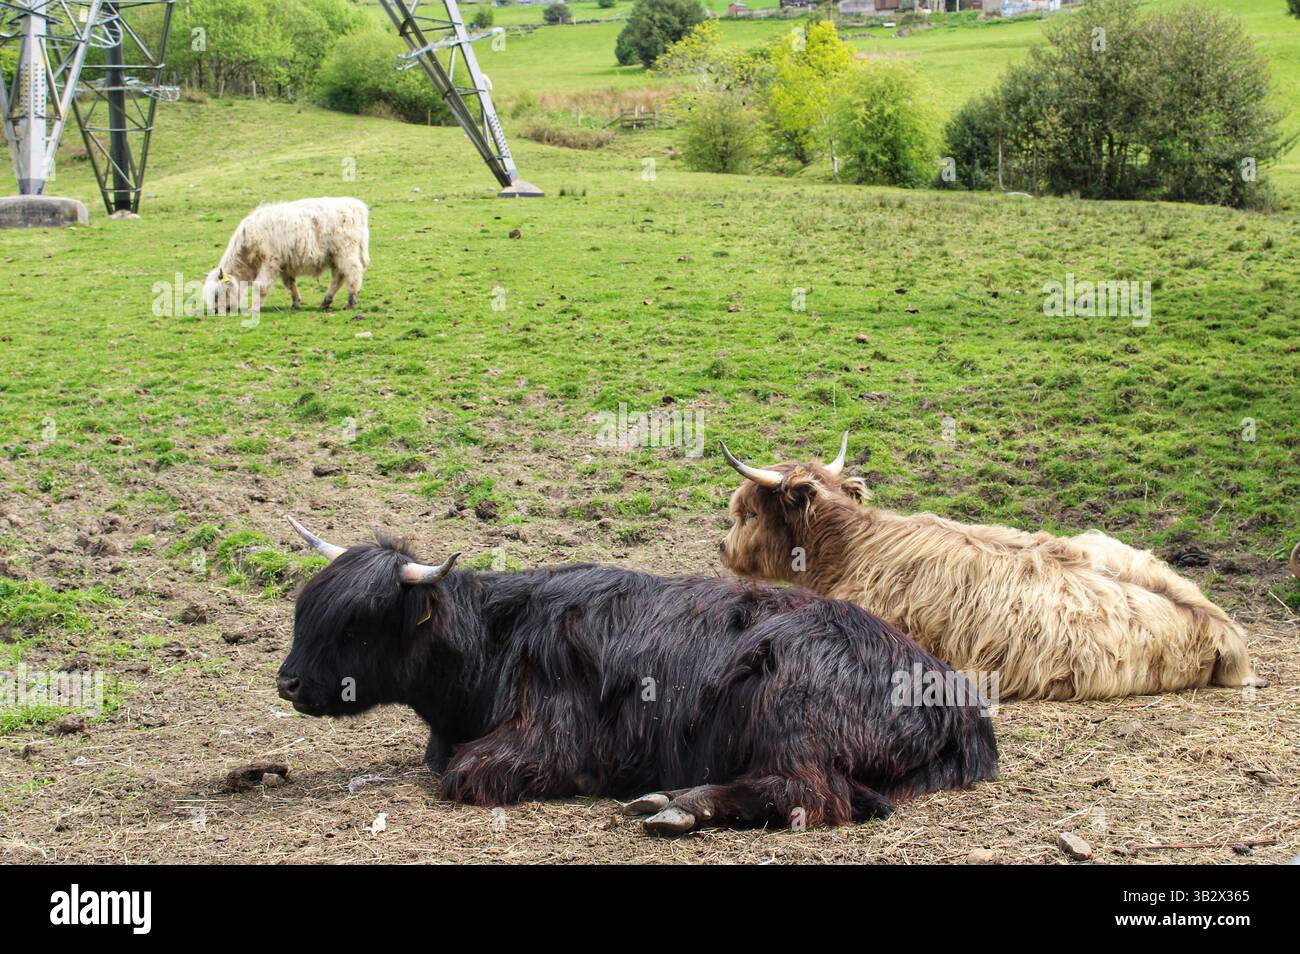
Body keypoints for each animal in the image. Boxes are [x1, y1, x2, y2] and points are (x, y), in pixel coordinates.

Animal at [203, 197, 370, 315]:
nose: (216, 311)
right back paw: (326, 302)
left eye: (217, 294)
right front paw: (296, 303)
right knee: (338, 278)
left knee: (354, 272)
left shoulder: (270, 262)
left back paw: (351, 301)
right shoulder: (284, 265)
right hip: (335, 257)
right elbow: (290, 284)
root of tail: (355, 205)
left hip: (345, 252)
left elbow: (260, 287)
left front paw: (254, 308)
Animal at [277, 515, 998, 835]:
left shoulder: (536, 745)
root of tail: (955, 693)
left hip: (790, 705)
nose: (288, 684)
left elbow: (463, 774)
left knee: (805, 793)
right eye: (306, 610)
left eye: (357, 625)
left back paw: (680, 807)